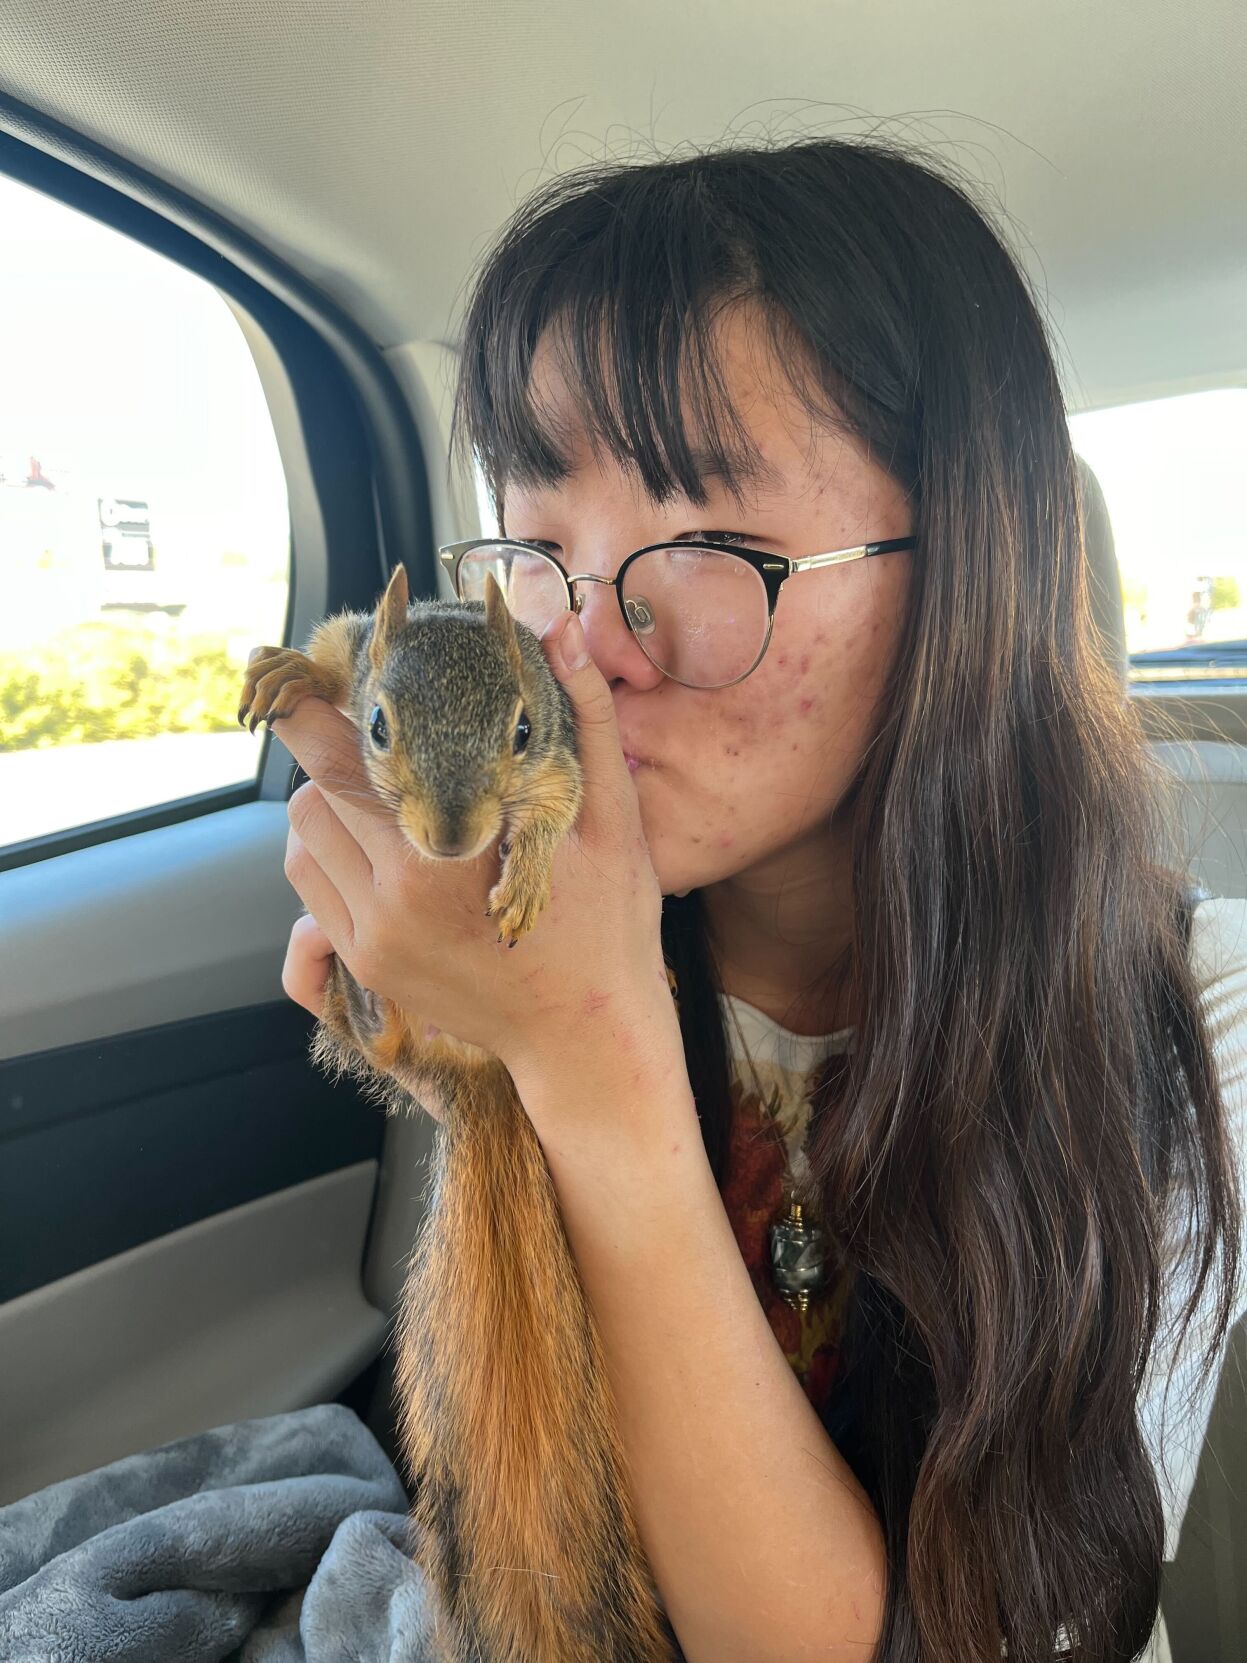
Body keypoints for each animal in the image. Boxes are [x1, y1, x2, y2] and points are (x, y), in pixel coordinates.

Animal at [238, 565, 679, 1663]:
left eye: (520, 728)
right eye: (378, 725)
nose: (451, 840)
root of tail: (480, 1079)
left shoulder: (563, 754)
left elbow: (558, 807)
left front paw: (526, 872)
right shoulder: (361, 649)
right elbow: (332, 651)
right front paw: (284, 669)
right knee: (385, 1042)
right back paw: (375, 1020)